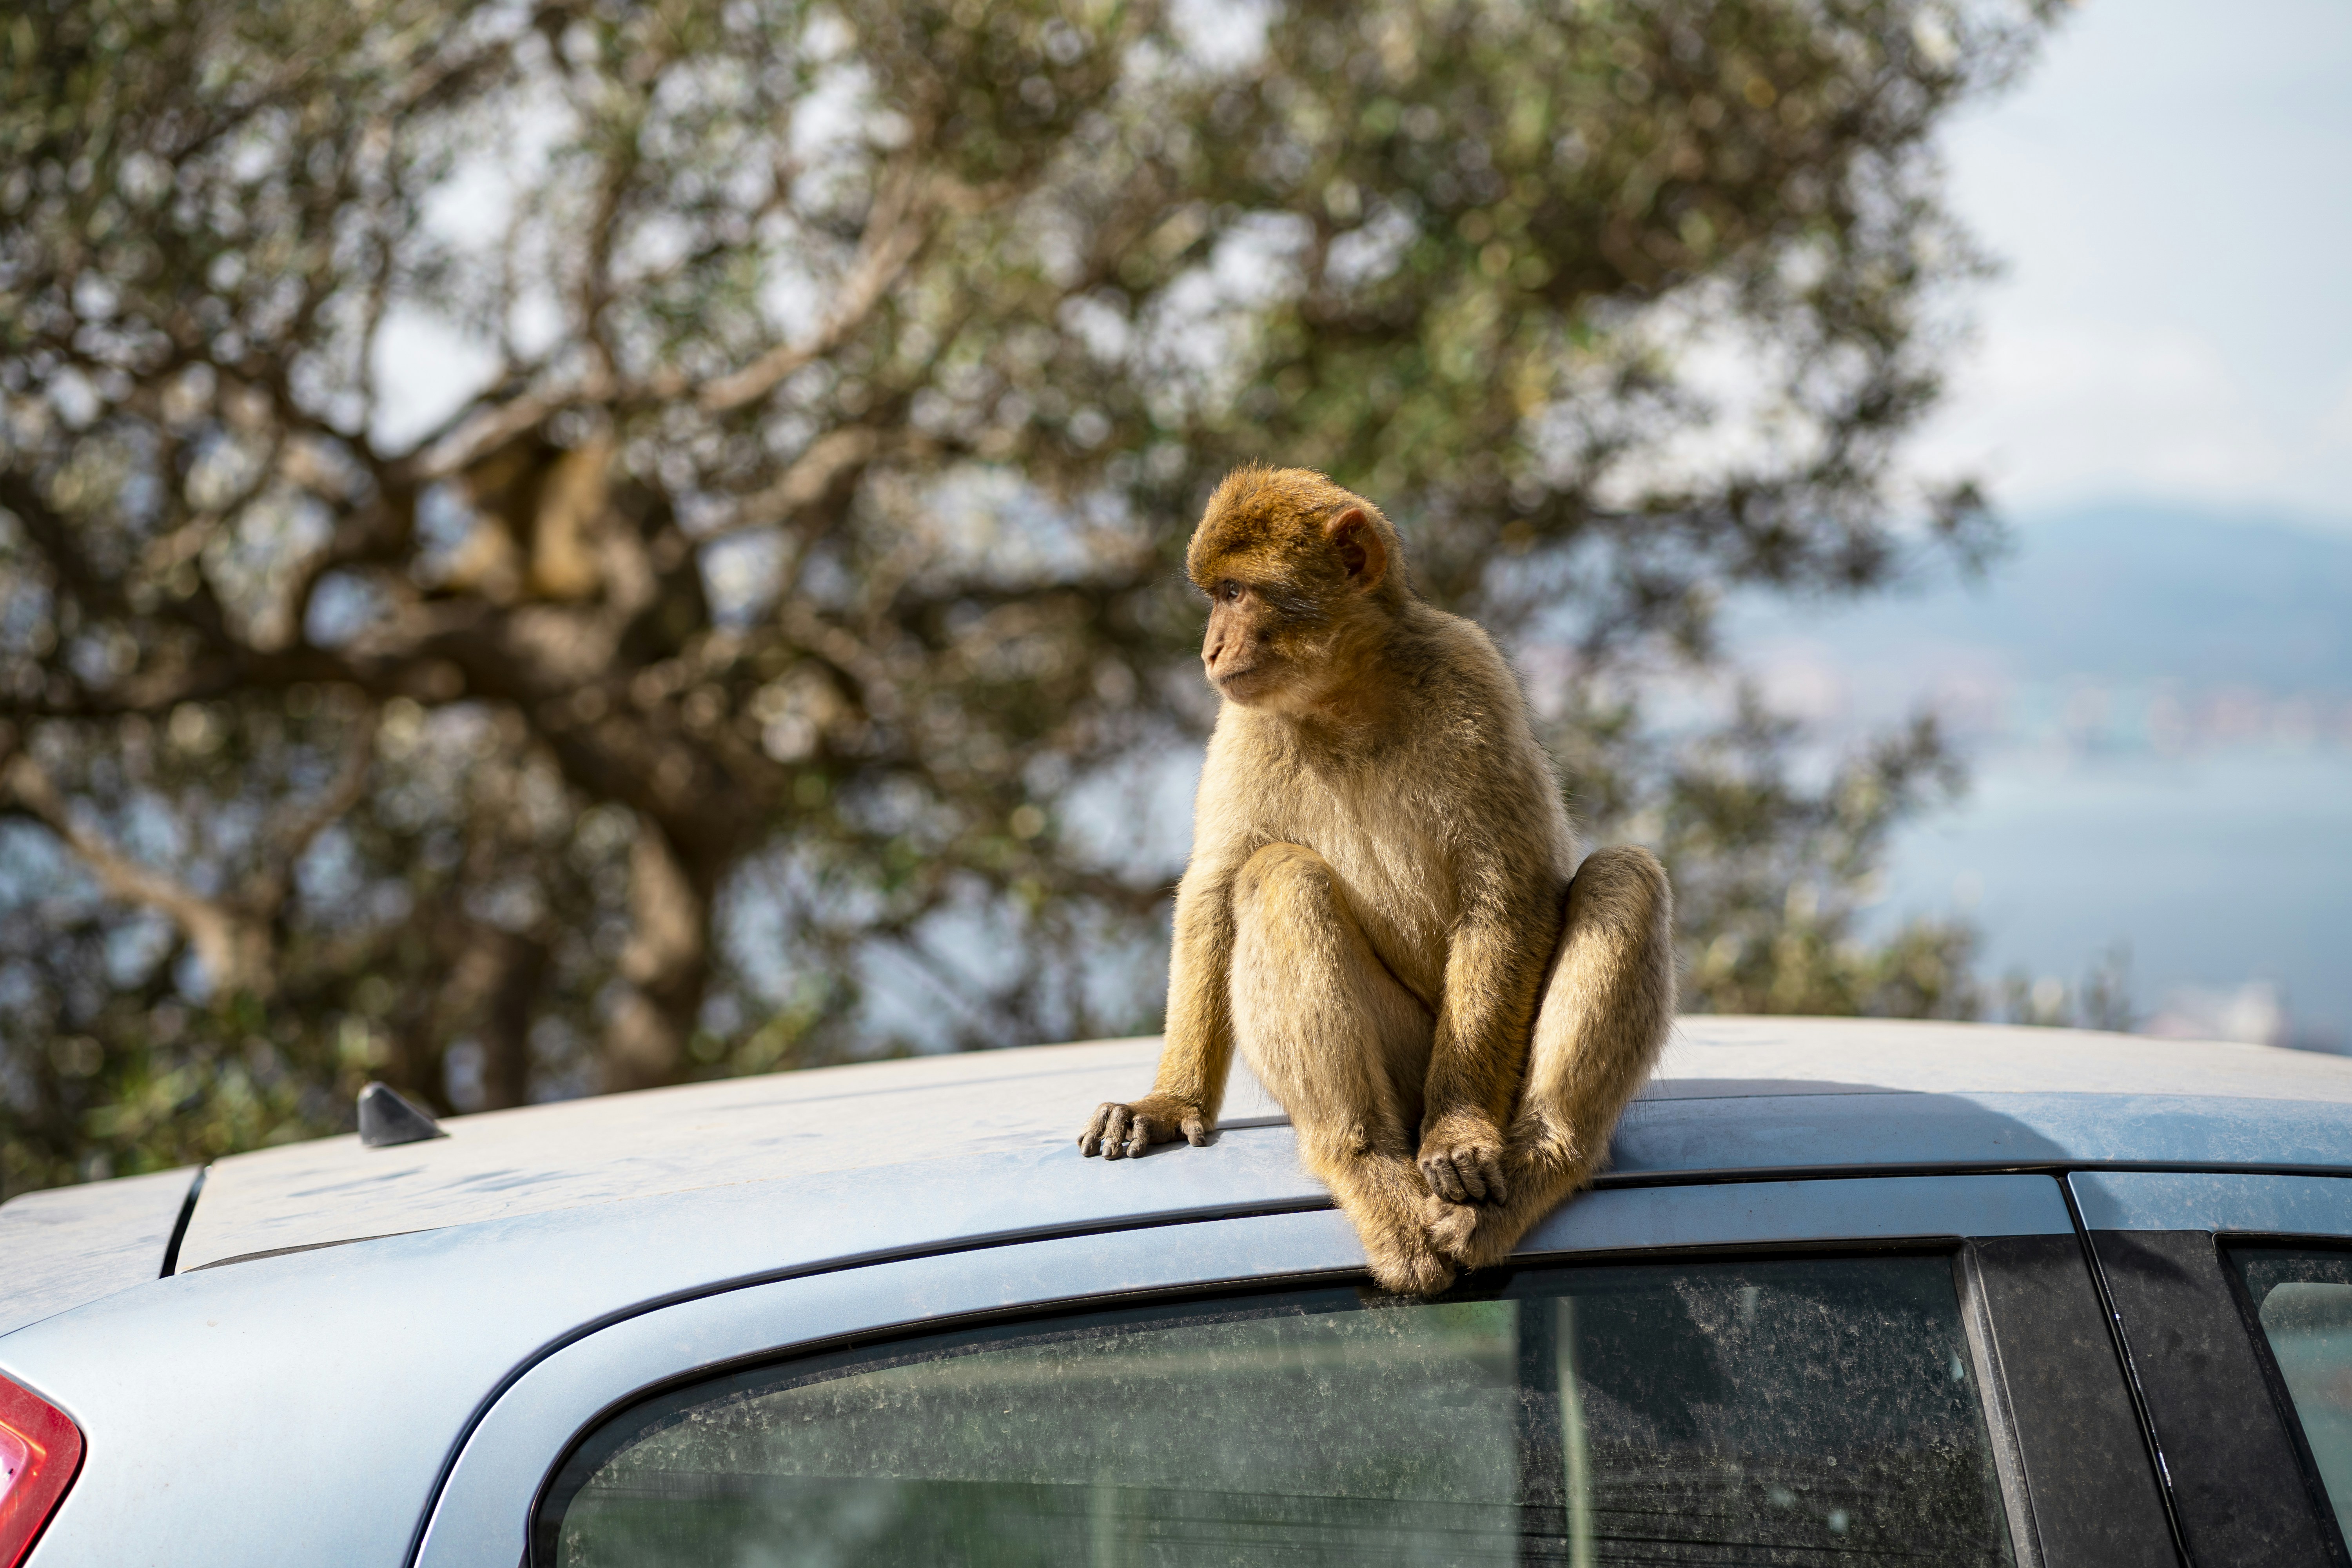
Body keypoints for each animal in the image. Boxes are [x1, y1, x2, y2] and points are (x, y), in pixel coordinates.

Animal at [1076, 465, 1675, 1296]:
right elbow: (1214, 895)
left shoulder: (1471, 675)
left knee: (1625, 876)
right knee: (1279, 875)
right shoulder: (1244, 723)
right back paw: (1360, 1157)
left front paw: (1460, 1133)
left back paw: (1541, 1159)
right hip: (1401, 1061)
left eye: (1236, 593)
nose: (1211, 648)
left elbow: (1505, 896)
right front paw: (1168, 1101)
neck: (1345, 697)